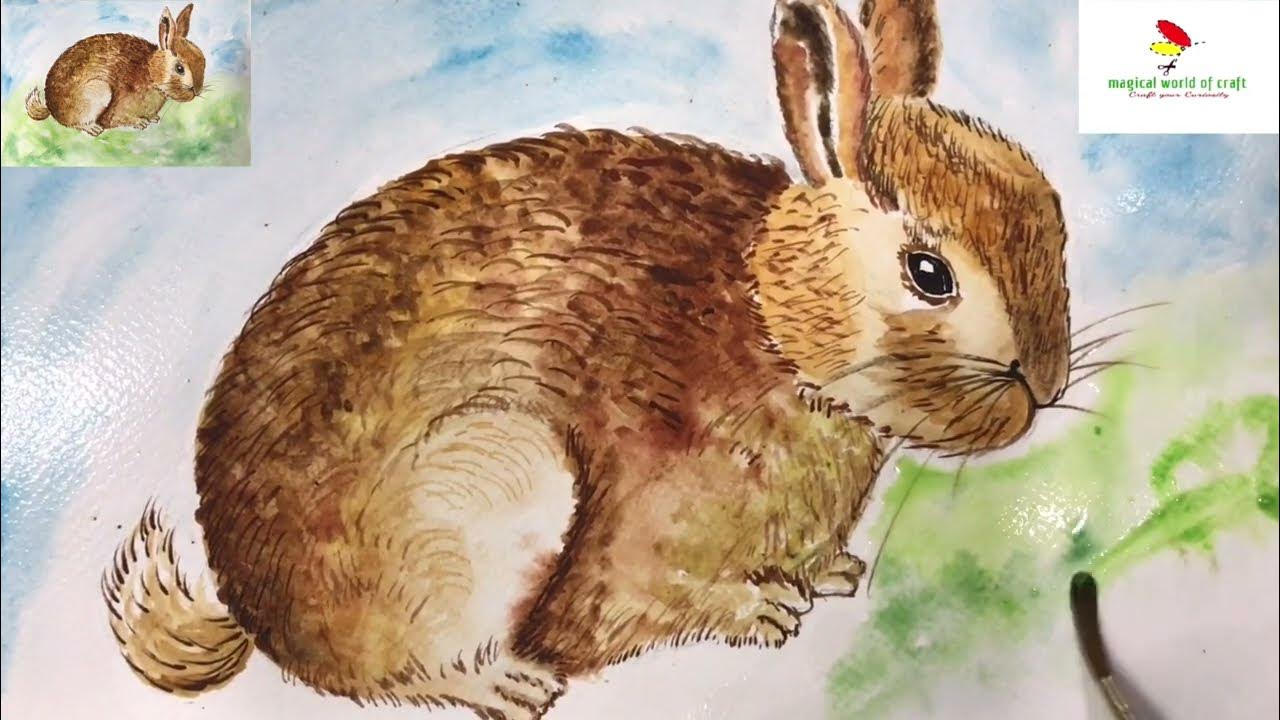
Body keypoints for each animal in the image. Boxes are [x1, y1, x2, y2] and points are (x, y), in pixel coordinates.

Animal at [25, 4, 205, 137]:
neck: (151, 73)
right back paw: (94, 129)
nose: (196, 91)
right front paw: (141, 123)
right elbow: (118, 119)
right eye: (180, 69)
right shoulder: (119, 108)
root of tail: (50, 106)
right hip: (99, 91)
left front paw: (154, 118)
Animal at [101, 0, 1071, 718]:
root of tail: (250, 607)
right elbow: (652, 602)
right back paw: (512, 685)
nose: (1045, 387)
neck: (777, 326)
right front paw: (767, 609)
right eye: (929, 274)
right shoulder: (638, 548)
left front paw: (833, 573)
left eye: (1051, 218)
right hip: (495, 479)